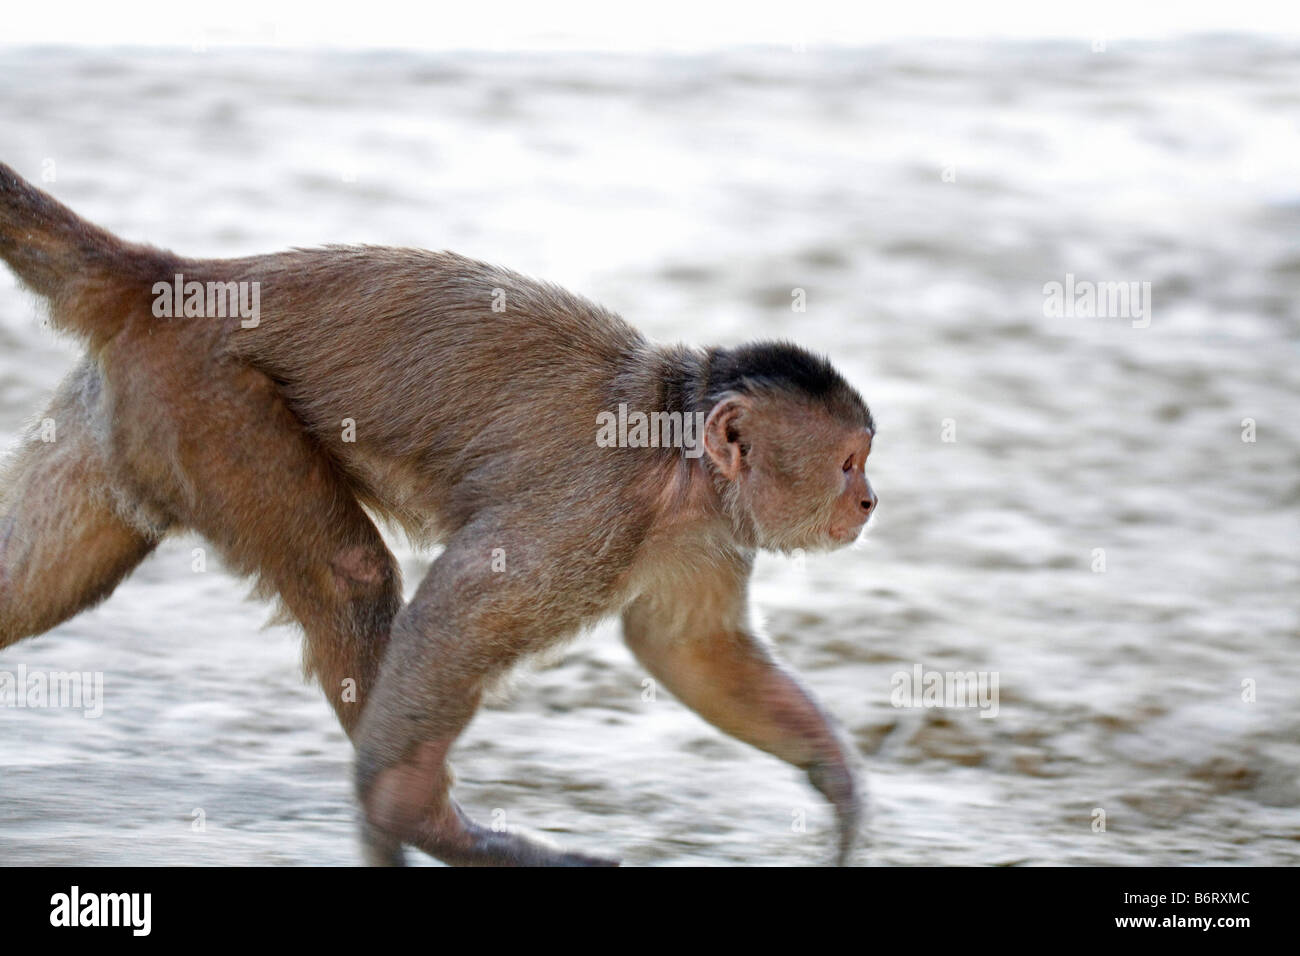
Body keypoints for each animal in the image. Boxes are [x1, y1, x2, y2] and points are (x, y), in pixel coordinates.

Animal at [0, 161, 878, 866]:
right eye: (848, 465)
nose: (870, 500)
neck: (678, 466)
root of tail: (176, 277)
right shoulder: (589, 513)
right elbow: (453, 622)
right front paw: (405, 812)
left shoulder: (710, 537)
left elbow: (689, 651)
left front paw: (836, 779)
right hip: (206, 400)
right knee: (350, 576)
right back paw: (433, 823)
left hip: (134, 412)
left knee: (39, 582)